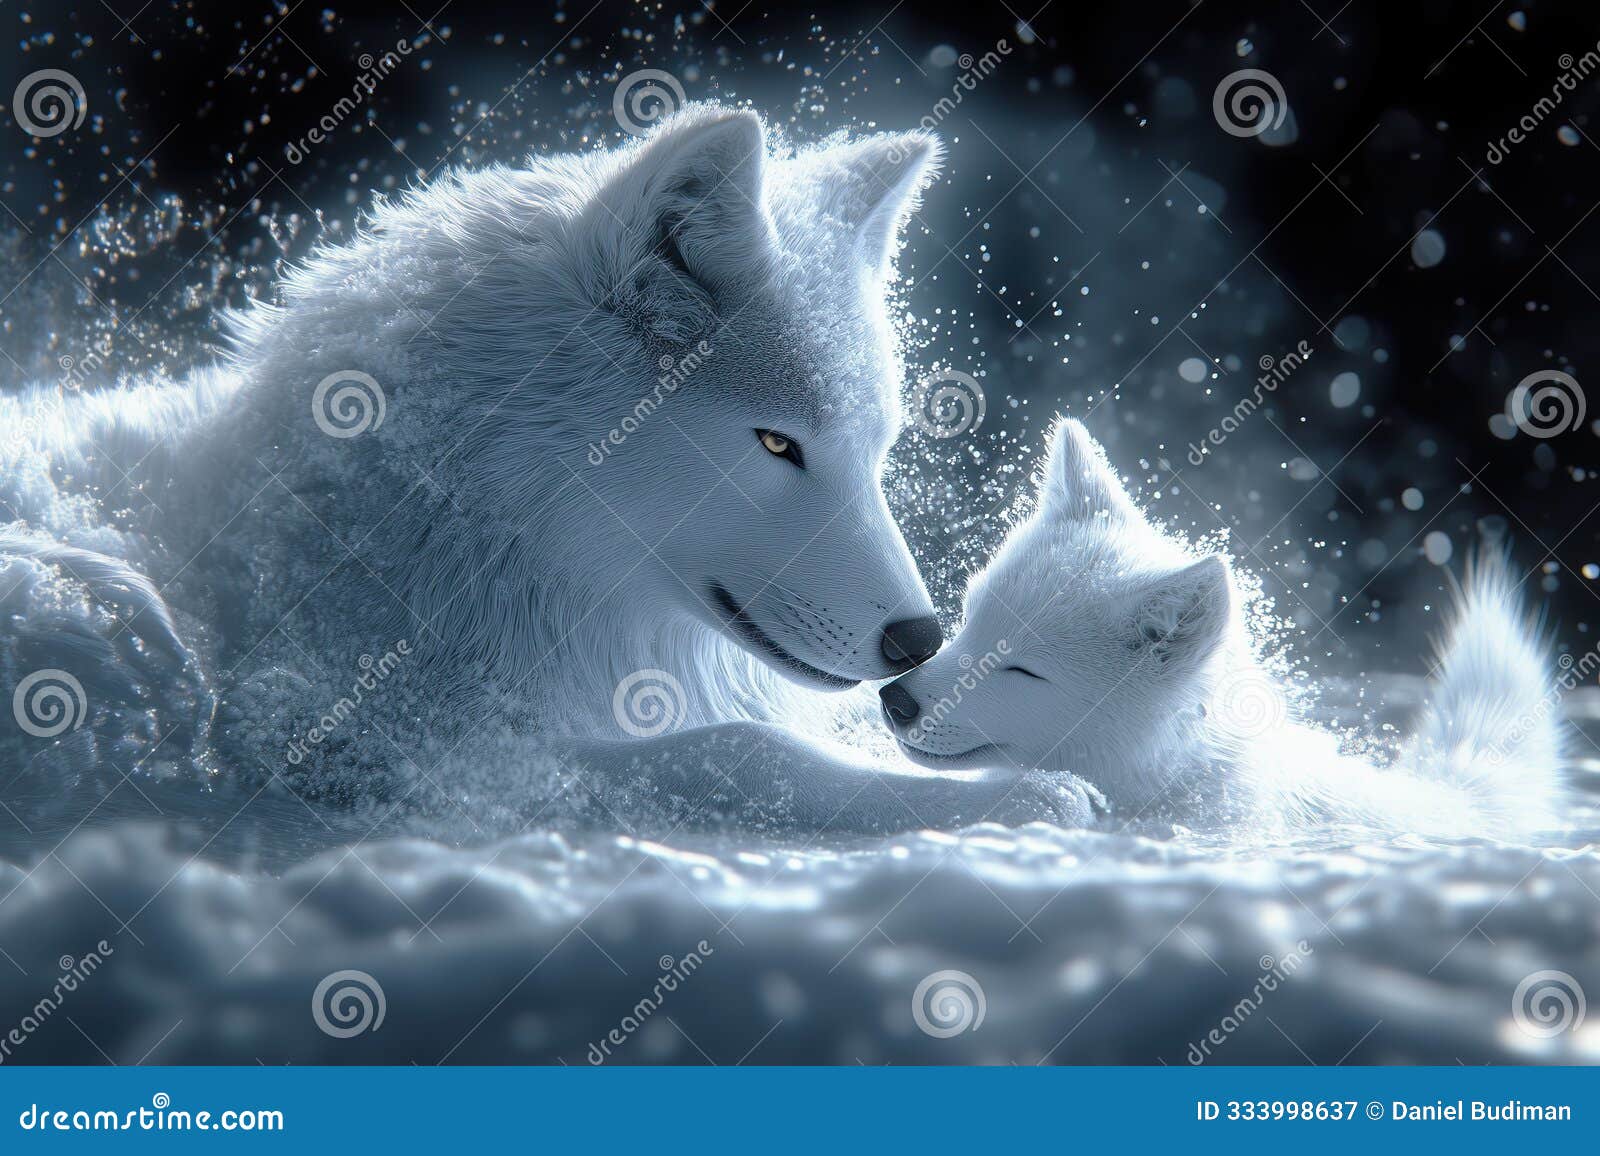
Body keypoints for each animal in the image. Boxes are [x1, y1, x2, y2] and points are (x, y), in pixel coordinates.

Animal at [0, 105, 1083, 832]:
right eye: (779, 444)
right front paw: (1012, 796)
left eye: (878, 450)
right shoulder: (379, 745)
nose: (917, 638)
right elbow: (740, 749)